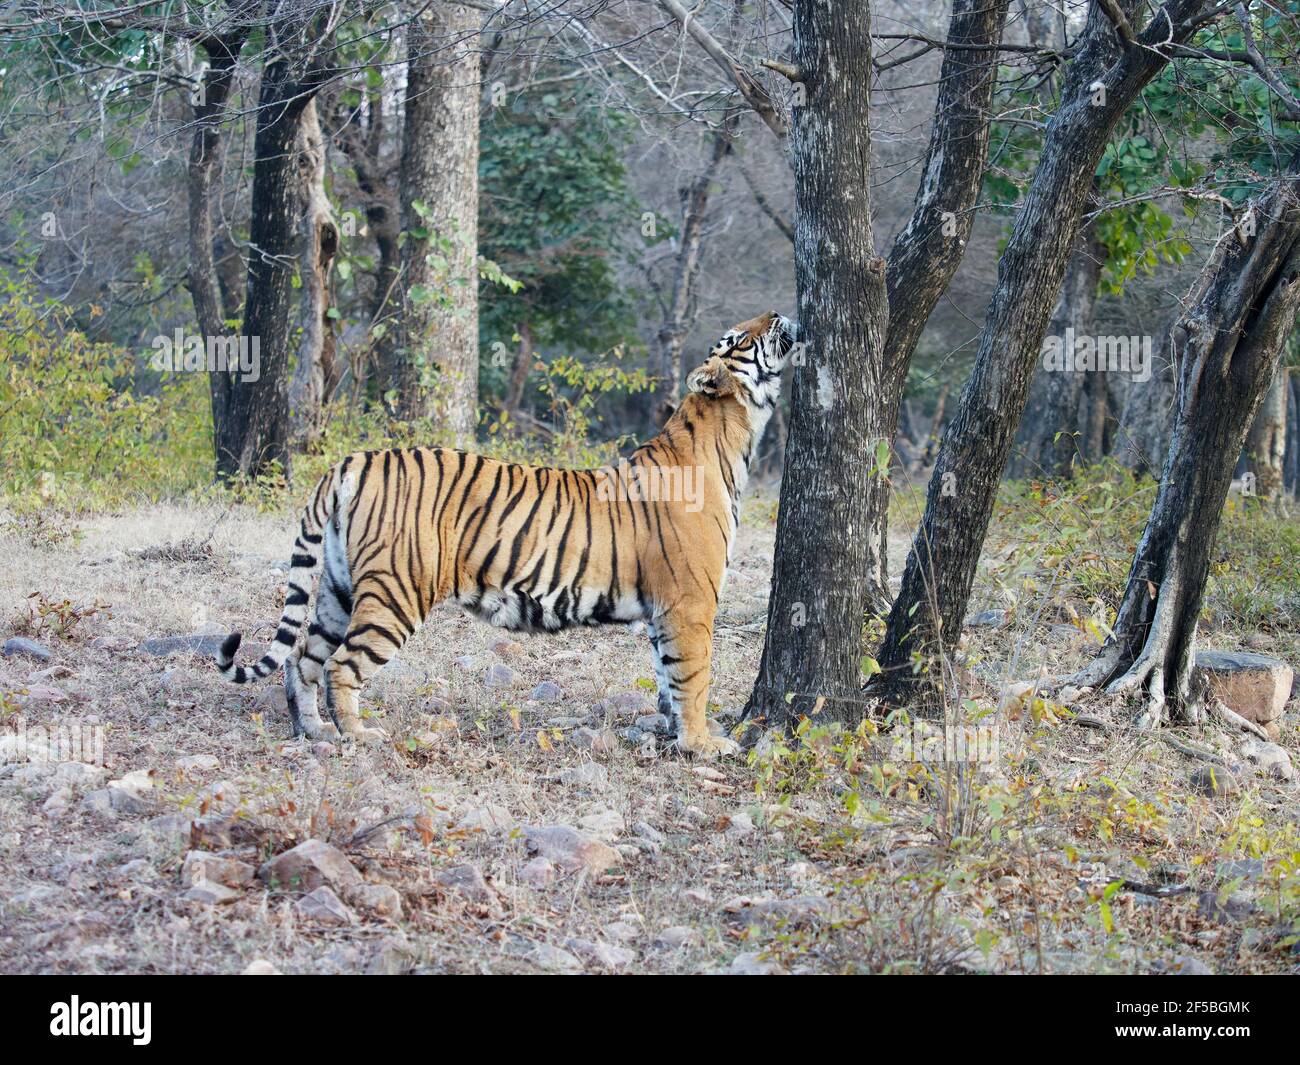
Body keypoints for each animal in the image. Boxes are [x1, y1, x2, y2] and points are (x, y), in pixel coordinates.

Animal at [216, 311, 795, 758]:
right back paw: (358, 734)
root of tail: (353, 460)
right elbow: (692, 677)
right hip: (395, 592)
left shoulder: (662, 608)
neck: (735, 437)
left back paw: (313, 731)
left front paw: (674, 732)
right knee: (341, 665)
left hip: (337, 588)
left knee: (301, 658)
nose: (776, 312)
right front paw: (702, 744)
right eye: (739, 337)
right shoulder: (690, 602)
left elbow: (665, 676)